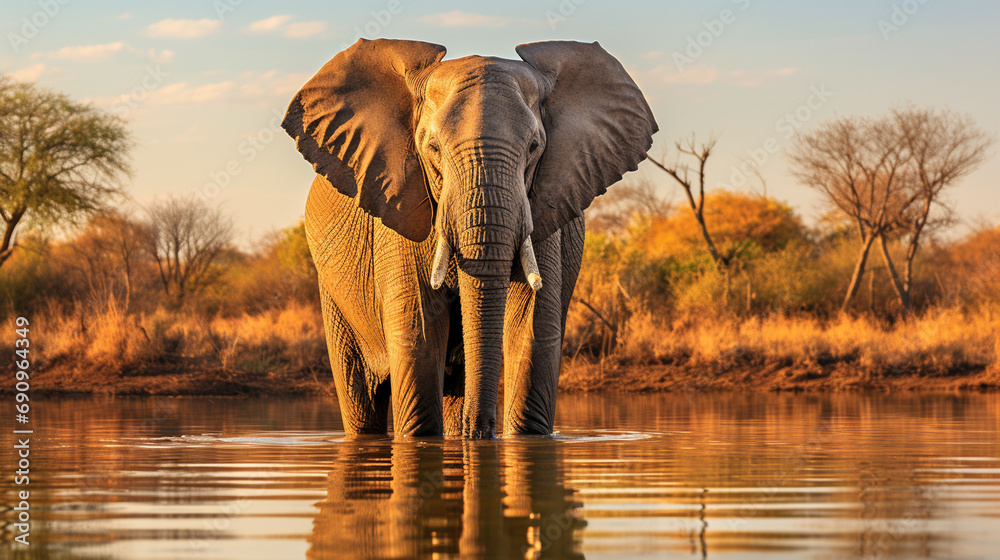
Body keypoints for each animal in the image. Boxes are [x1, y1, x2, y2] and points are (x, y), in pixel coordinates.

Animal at [282, 38, 657, 438]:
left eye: (534, 147)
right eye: (432, 148)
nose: (482, 432)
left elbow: (531, 329)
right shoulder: (400, 203)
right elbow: (419, 330)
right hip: (332, 293)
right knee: (360, 399)